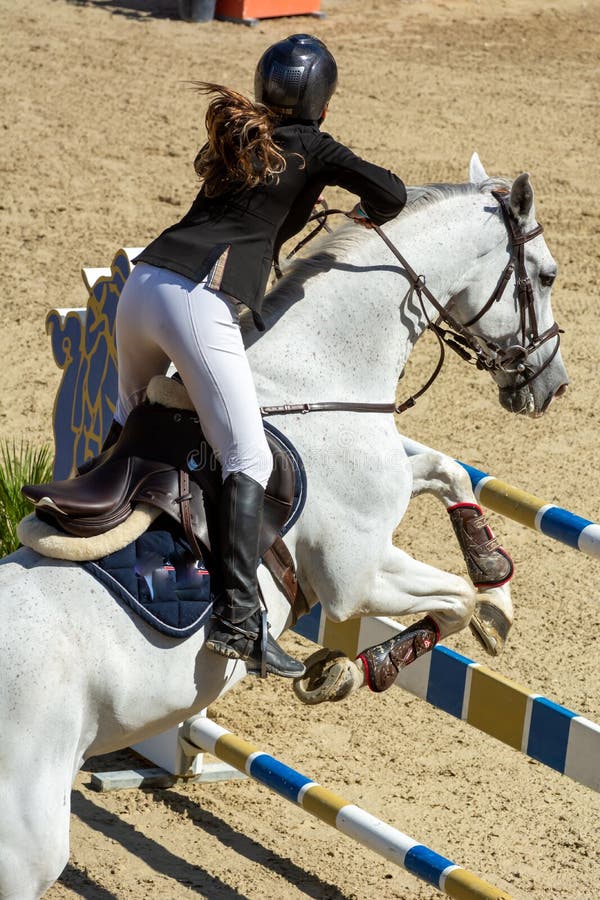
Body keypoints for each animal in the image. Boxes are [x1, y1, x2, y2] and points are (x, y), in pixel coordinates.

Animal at [0, 154, 568, 898]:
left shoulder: (385, 493)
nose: (553, 386)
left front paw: (492, 570)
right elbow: (452, 601)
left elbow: (450, 473)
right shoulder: (358, 575)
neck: (321, 370)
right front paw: (368, 664)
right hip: (28, 842)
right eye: (549, 275)